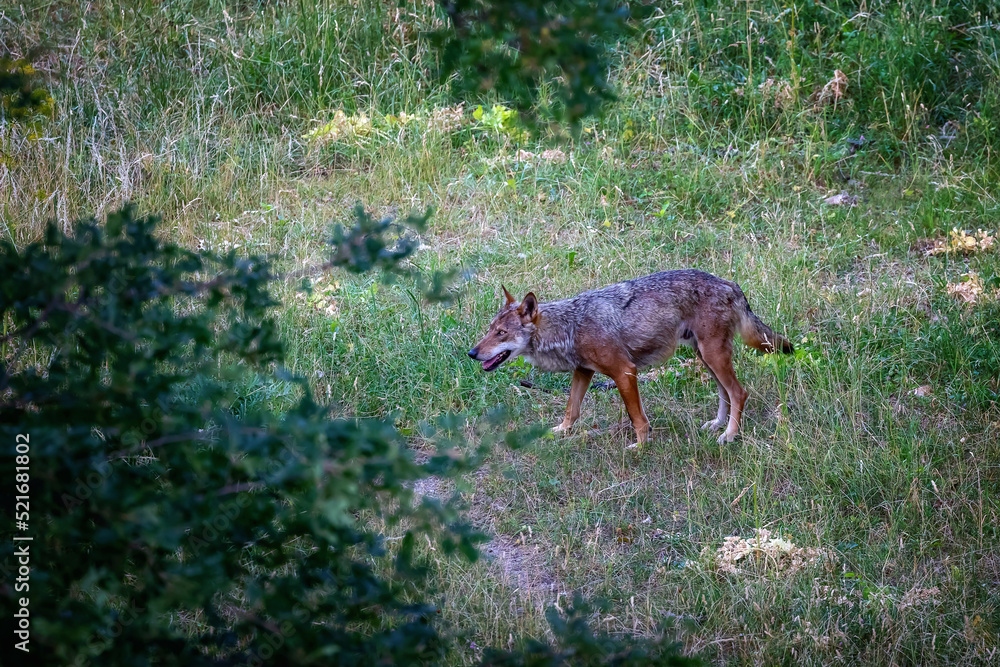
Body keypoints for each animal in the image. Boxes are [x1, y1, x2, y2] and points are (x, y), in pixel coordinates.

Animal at [468, 270, 793, 445]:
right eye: (489, 330)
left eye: (501, 333)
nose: (471, 353)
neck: (570, 326)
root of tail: (731, 285)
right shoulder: (583, 372)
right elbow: (572, 409)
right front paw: (560, 431)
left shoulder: (625, 371)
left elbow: (638, 418)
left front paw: (640, 447)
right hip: (705, 357)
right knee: (725, 393)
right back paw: (718, 425)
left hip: (712, 357)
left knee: (739, 392)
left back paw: (730, 435)